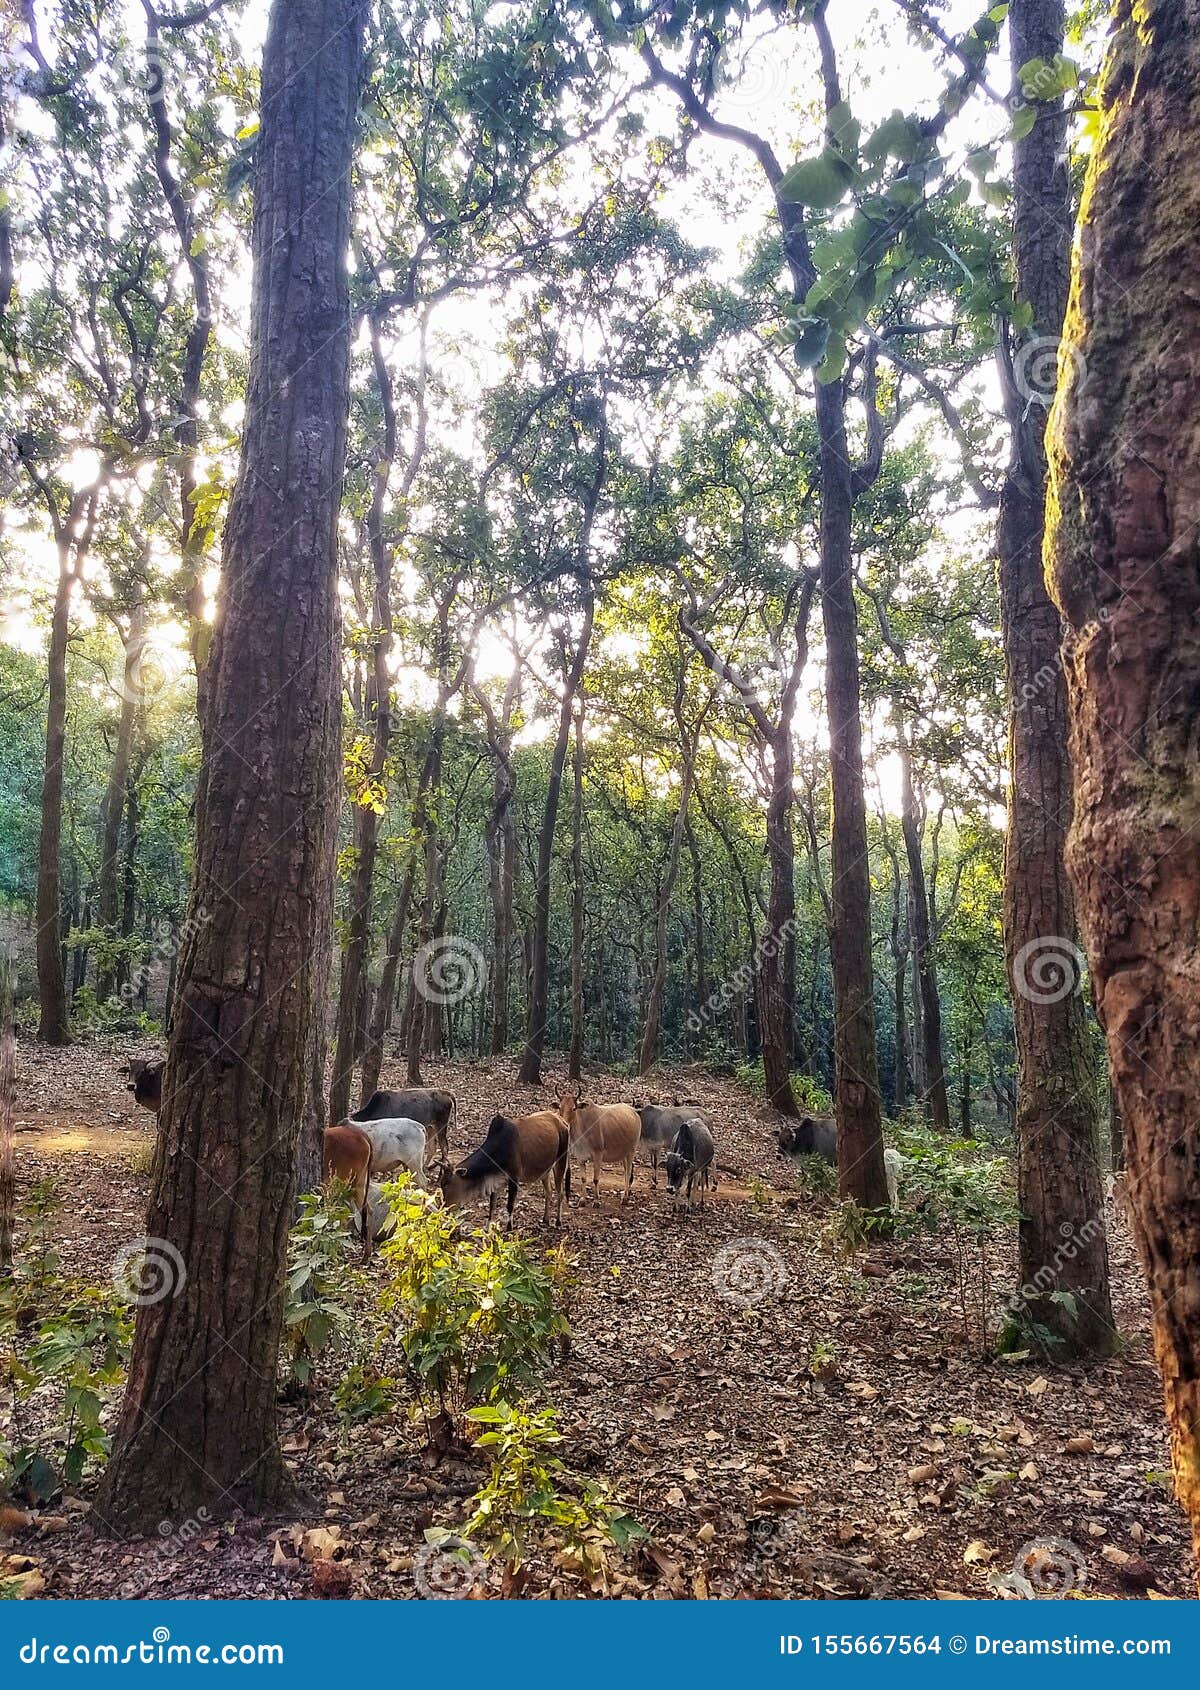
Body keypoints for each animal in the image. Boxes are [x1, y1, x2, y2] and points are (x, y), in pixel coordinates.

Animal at [441, 1110, 569, 1228]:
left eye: (447, 1184)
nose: (445, 1209)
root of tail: (561, 1121)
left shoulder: (514, 1178)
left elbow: (510, 1205)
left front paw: (509, 1228)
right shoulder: (495, 1179)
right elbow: (492, 1205)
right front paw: (488, 1229)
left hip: (561, 1162)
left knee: (560, 1192)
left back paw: (558, 1221)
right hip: (545, 1170)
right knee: (549, 1191)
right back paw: (545, 1219)